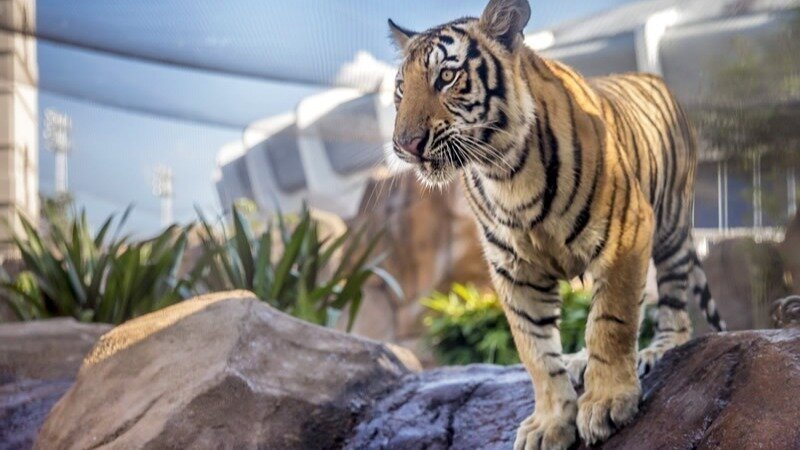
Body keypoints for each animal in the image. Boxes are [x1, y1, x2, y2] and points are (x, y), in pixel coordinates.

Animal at [385, 0, 727, 448]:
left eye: (446, 76)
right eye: (400, 90)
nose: (405, 145)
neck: (505, 173)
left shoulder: (625, 233)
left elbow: (610, 322)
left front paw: (607, 402)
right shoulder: (514, 271)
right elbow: (535, 351)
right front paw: (550, 423)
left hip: (670, 225)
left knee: (674, 301)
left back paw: (658, 349)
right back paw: (580, 361)